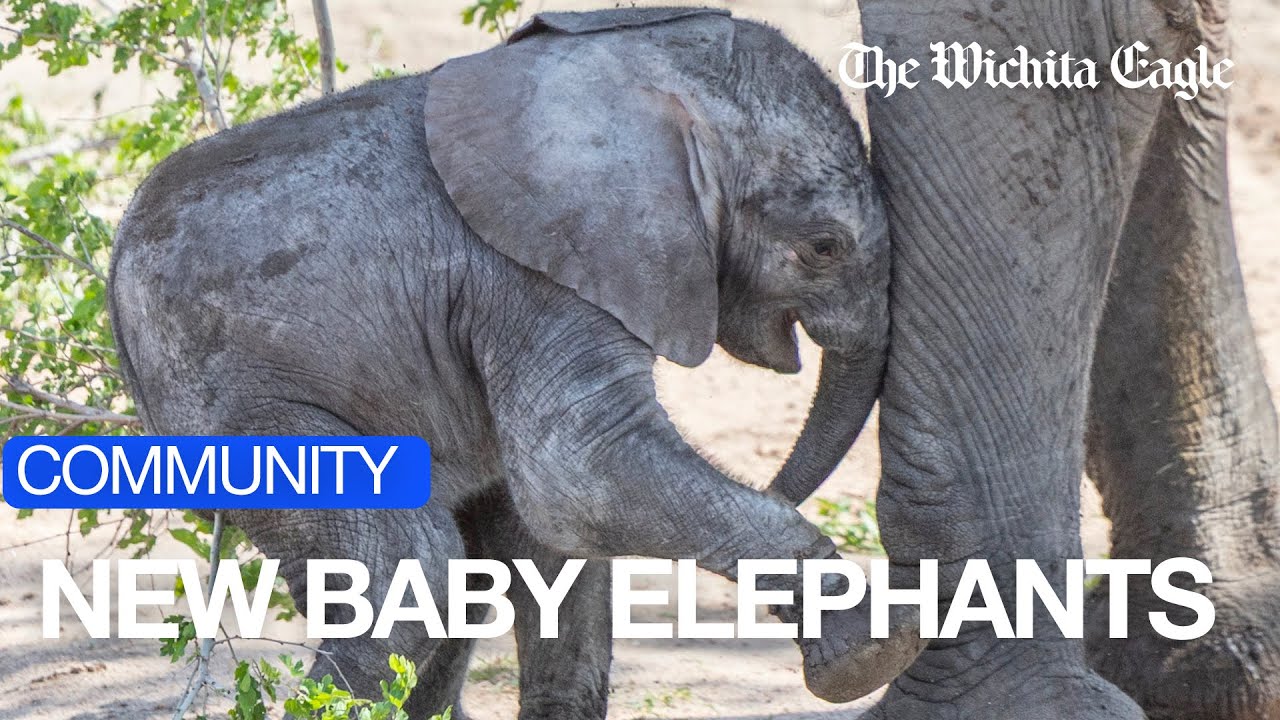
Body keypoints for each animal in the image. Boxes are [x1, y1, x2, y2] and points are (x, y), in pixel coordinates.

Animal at [106, 8, 923, 719]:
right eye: (823, 247)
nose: (780, 479)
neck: (640, 78)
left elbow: (563, 534)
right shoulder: (533, 272)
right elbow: (580, 474)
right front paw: (878, 650)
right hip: (240, 407)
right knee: (413, 562)